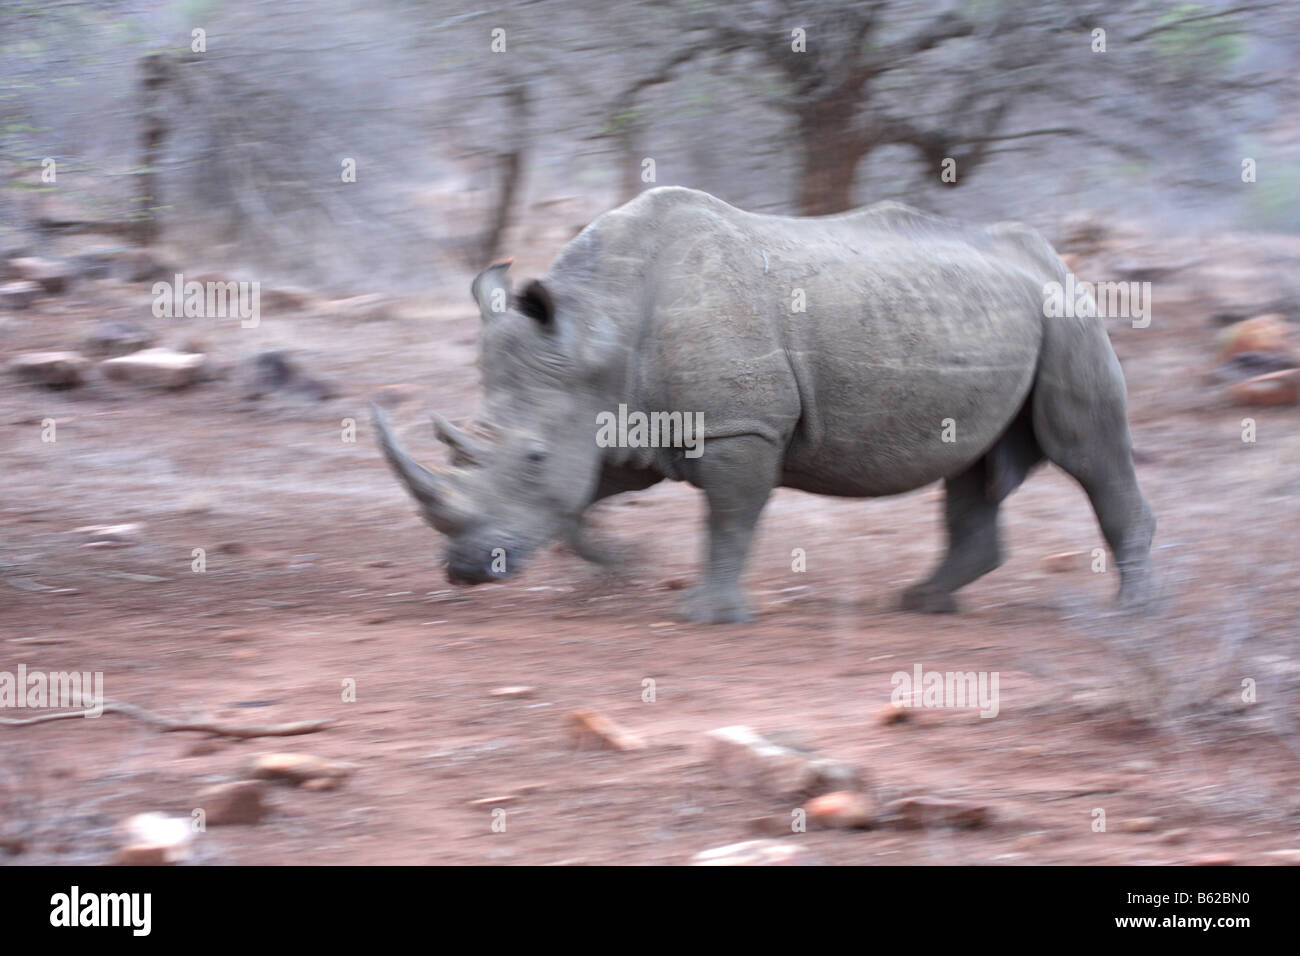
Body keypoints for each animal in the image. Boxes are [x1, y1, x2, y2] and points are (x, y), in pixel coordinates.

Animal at [374, 186, 1154, 623]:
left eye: (530, 457)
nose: (464, 568)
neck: (595, 330)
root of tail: (1048, 256)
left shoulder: (738, 427)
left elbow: (728, 519)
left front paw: (705, 616)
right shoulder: (616, 415)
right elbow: (582, 502)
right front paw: (624, 560)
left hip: (1065, 308)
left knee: (1087, 450)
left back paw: (1131, 618)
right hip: (991, 312)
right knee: (973, 465)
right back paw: (924, 603)